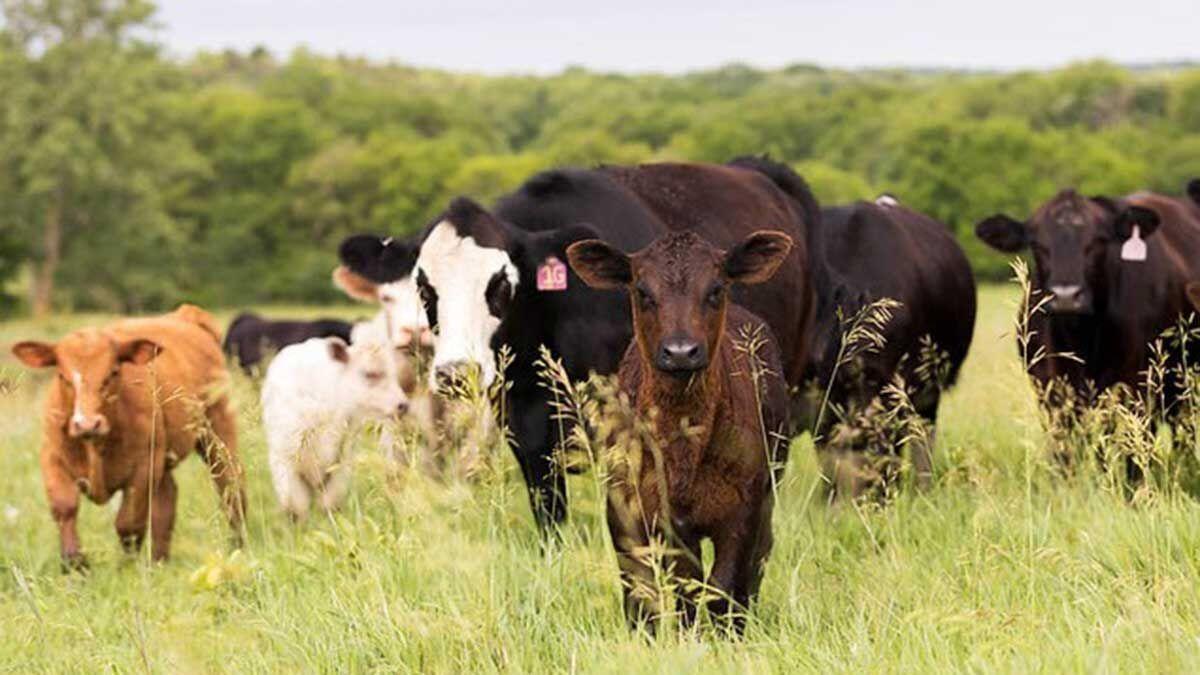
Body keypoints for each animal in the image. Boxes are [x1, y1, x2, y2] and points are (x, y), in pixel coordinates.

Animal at [11, 305, 246, 567]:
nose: (87, 424)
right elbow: (65, 508)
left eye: (113, 372)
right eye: (62, 376)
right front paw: (74, 563)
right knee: (167, 499)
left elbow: (128, 524)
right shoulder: (52, 458)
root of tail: (186, 315)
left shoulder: (143, 468)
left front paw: (127, 567)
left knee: (230, 484)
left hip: (218, 430)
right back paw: (159, 561)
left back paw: (238, 545)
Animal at [262, 336, 408, 520]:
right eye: (370, 373)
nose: (403, 405)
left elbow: (328, 505)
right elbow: (298, 508)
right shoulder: (286, 464)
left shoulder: (339, 465)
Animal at [567, 229, 792, 634]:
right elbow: (651, 591)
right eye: (642, 290)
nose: (681, 351)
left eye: (716, 288)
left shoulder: (743, 511)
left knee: (757, 562)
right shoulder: (632, 514)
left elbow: (720, 589)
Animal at [975, 183, 1200, 470]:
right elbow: (1066, 458)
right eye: (1037, 245)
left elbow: (1133, 460)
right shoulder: (1052, 397)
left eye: (1098, 241)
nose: (1066, 295)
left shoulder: (1138, 390)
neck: (1081, 341)